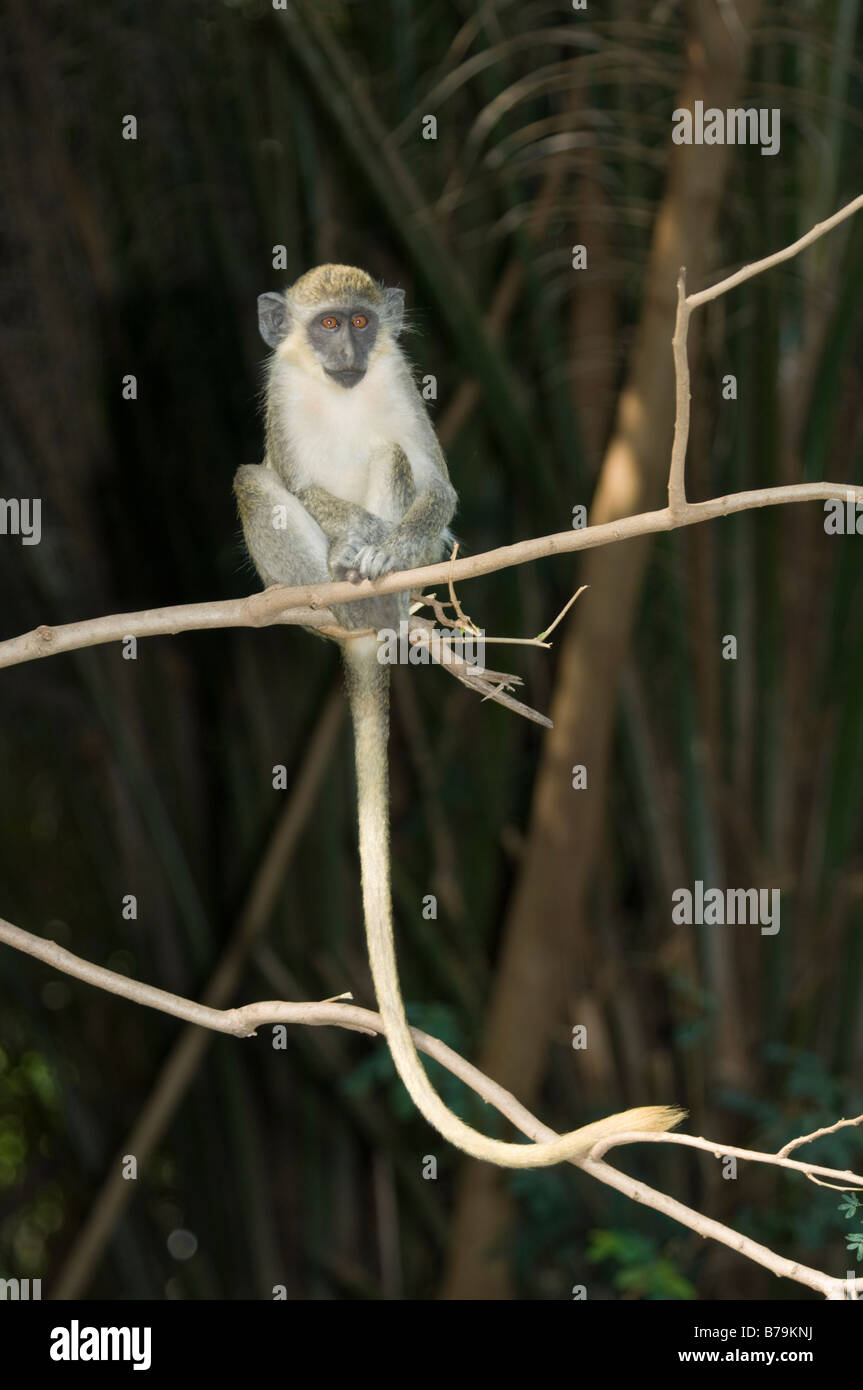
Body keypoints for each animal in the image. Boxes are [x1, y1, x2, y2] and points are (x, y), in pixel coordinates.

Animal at [234, 264, 684, 1166]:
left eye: (361, 324)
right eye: (326, 324)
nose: (346, 351)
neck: (338, 390)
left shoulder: (402, 385)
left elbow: (435, 484)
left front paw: (393, 543)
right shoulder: (280, 395)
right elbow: (292, 481)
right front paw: (354, 534)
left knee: (389, 459)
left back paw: (380, 591)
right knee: (253, 482)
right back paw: (322, 597)